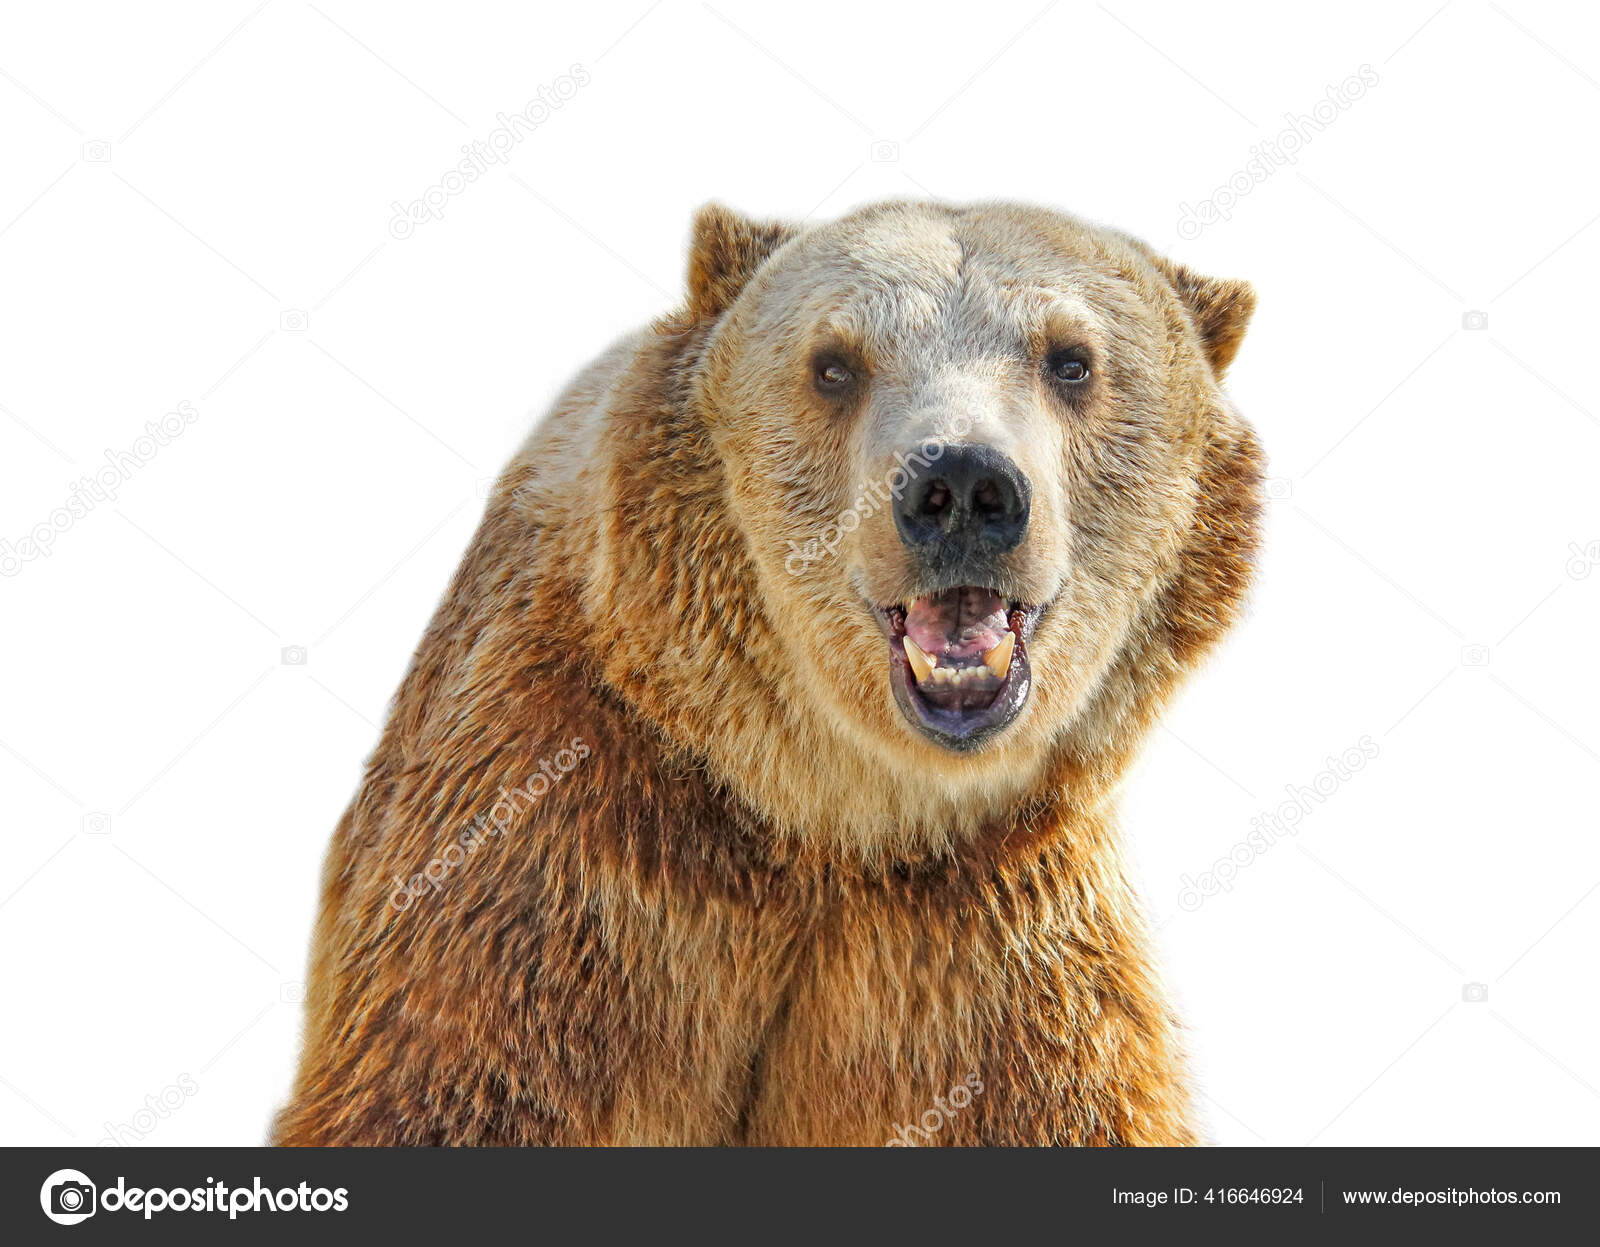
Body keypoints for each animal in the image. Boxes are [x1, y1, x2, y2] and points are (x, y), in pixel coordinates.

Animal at [273, 199, 1261, 1146]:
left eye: (1071, 360)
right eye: (834, 365)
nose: (960, 488)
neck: (832, 805)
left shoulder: (993, 942)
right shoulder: (564, 849)